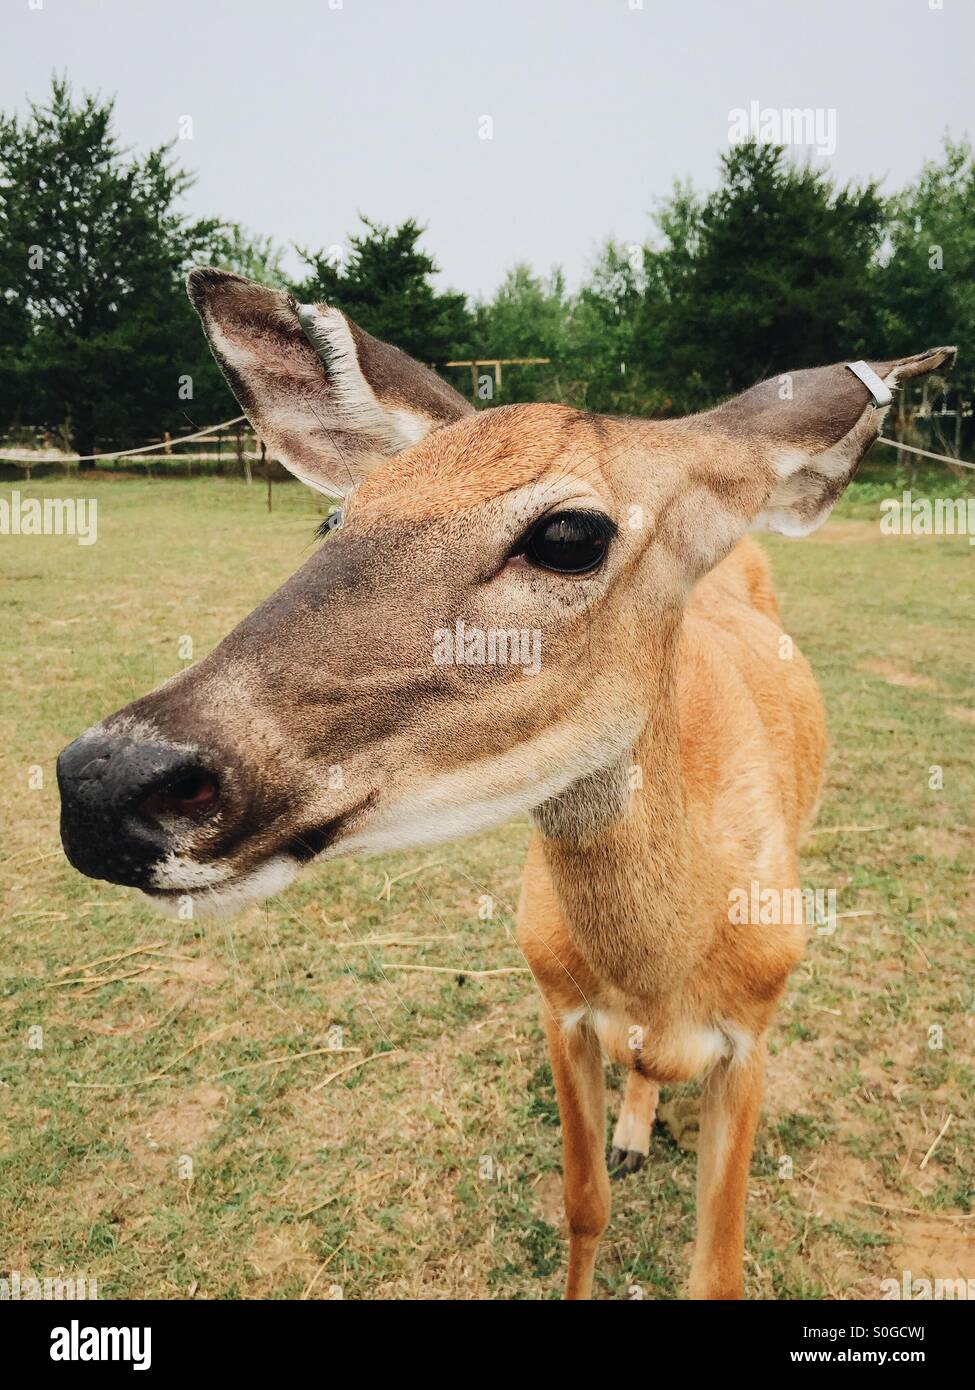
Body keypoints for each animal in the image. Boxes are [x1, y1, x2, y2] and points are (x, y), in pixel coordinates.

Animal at [56, 266, 955, 1299]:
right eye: (335, 517)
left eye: (568, 534)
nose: (102, 782)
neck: (666, 964)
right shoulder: (555, 1000)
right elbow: (581, 1205)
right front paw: (612, 1163)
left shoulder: (754, 1033)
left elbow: (716, 1270)